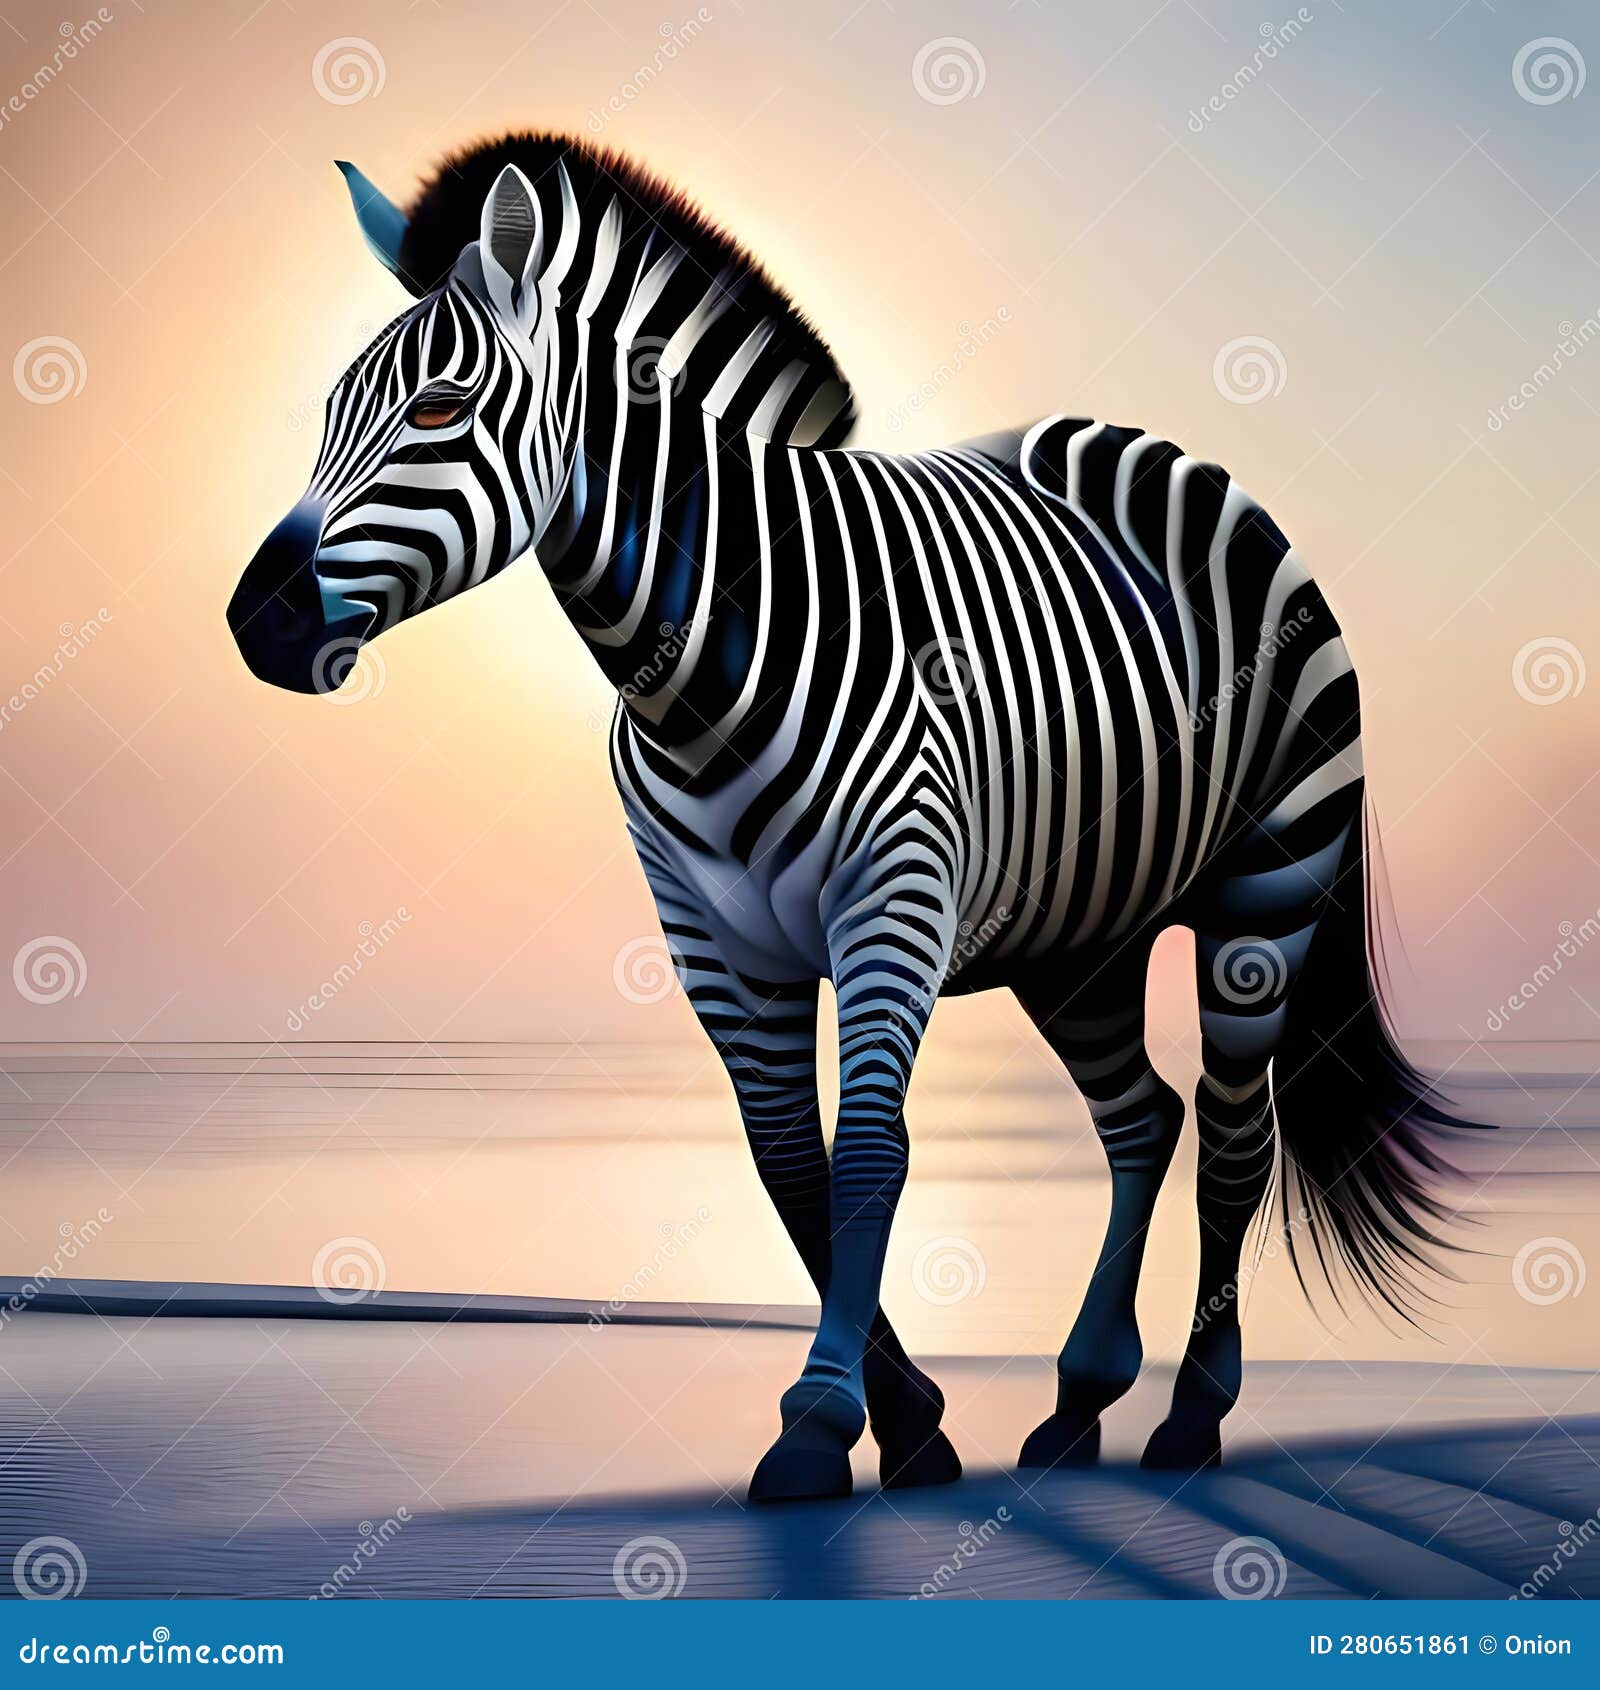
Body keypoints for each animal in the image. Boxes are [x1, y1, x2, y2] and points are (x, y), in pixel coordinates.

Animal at [228, 133, 1477, 1503]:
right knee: (1141, 1118)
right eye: (327, 417)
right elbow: (791, 1164)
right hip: (1074, 937)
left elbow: (873, 1153)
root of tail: (1151, 447)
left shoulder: (894, 898)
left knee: (1233, 1131)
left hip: (1269, 885)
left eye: (441, 410)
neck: (699, 671)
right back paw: (1077, 1396)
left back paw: (1194, 1412)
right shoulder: (713, 943)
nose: (258, 622)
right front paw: (909, 1420)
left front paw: (825, 1421)